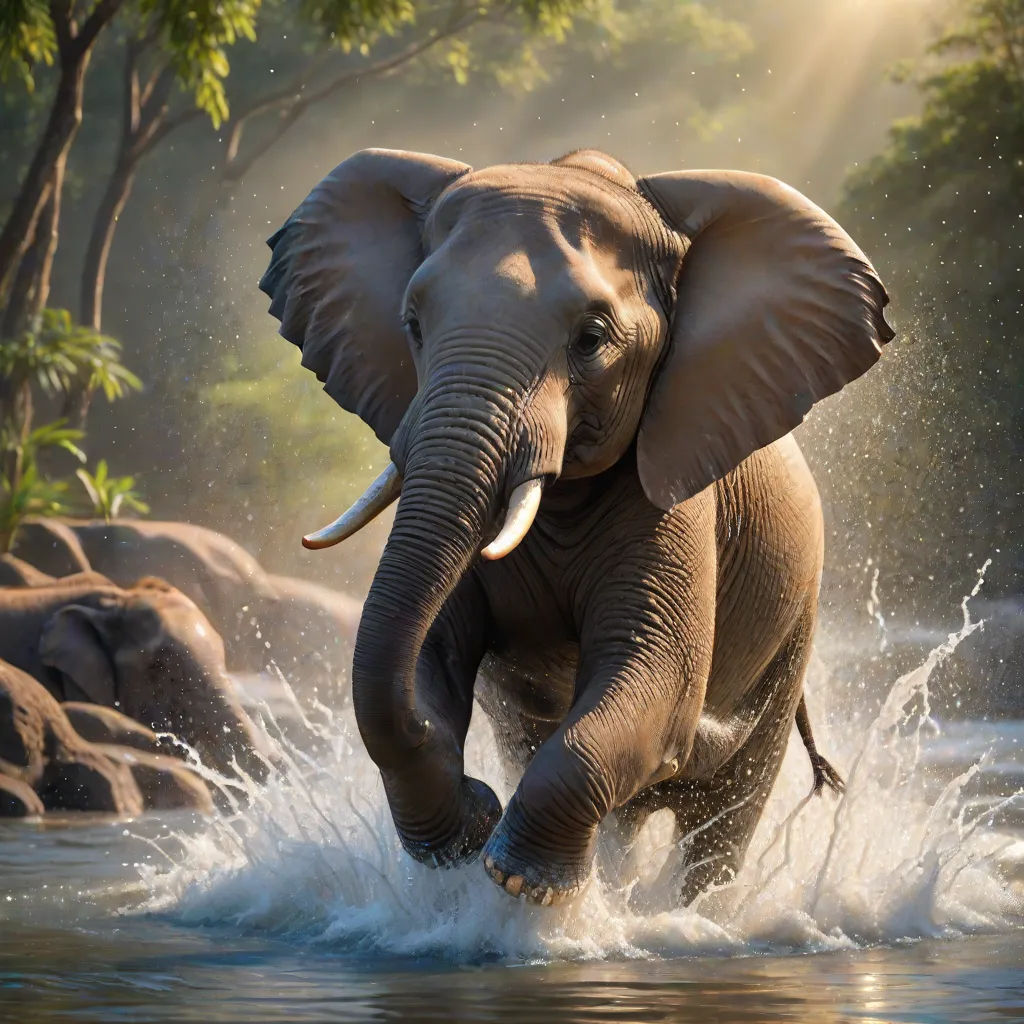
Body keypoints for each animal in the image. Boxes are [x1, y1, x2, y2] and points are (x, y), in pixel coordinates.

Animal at [259, 148, 893, 905]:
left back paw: (688, 913)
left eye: (590, 340)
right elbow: (432, 647)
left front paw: (522, 880)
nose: (477, 805)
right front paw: (465, 837)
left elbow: (654, 678)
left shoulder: (676, 490)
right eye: (412, 324)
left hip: (796, 625)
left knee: (726, 808)